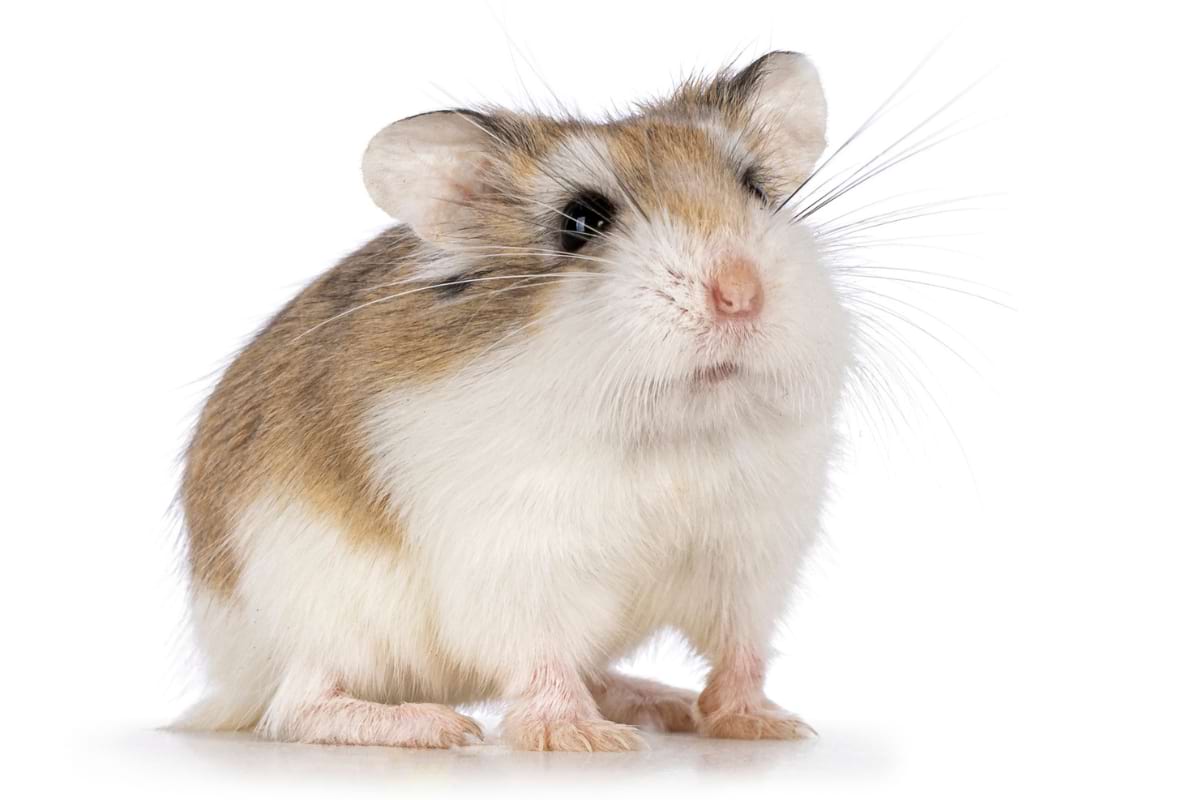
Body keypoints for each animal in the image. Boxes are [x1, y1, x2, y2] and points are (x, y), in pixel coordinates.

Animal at [178, 51, 849, 751]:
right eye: (582, 221)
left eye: (756, 189)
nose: (741, 294)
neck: (671, 428)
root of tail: (230, 672)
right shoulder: (522, 558)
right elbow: (541, 657)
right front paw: (584, 740)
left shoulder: (752, 554)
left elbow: (742, 648)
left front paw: (770, 726)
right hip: (324, 616)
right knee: (299, 705)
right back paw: (443, 726)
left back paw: (660, 701)